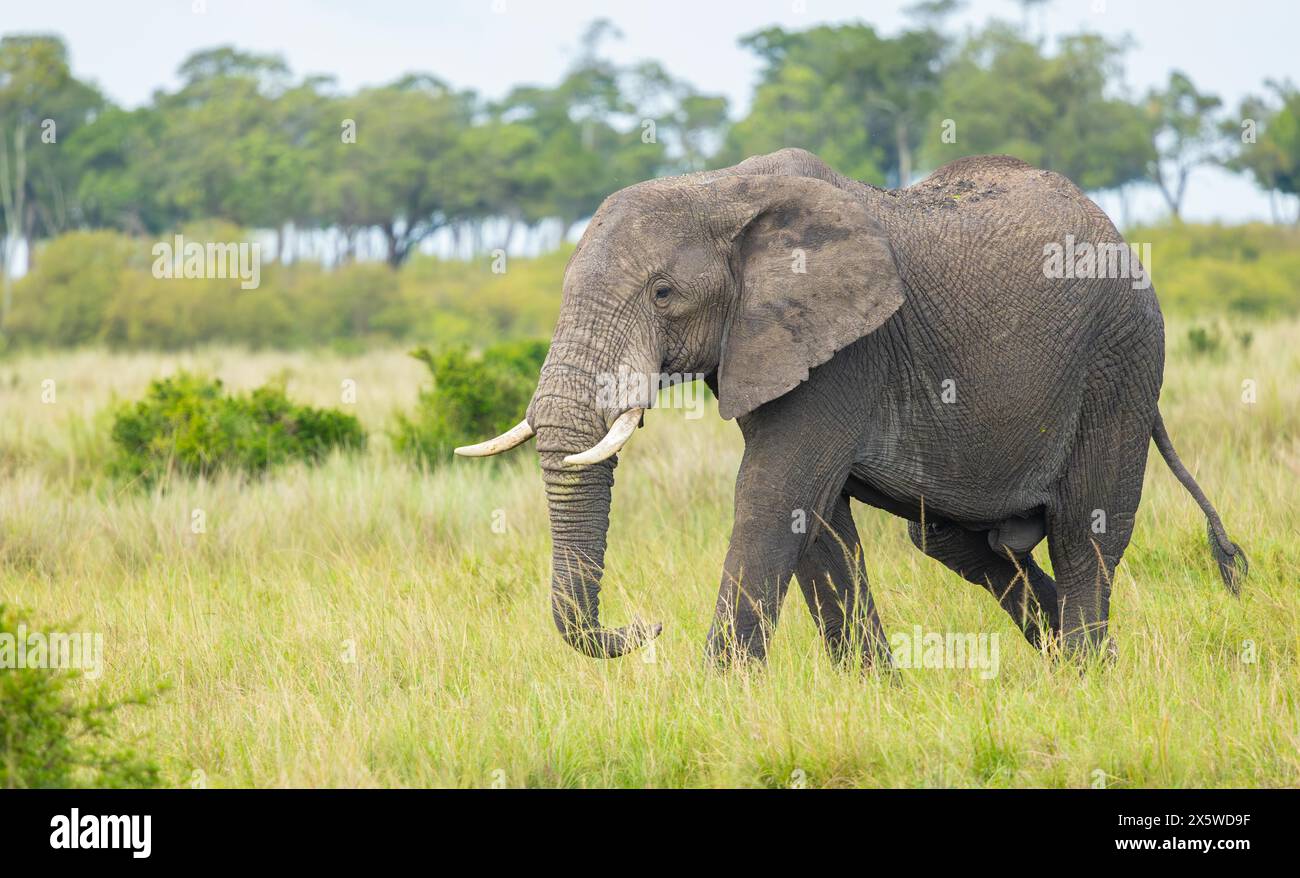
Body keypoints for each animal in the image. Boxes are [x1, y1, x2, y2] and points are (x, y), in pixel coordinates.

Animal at [455, 147, 1247, 667]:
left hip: (1121, 362)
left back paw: (1086, 676)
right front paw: (876, 693)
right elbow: (817, 521)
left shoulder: (846, 351)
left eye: (662, 293)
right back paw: (1073, 664)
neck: (720, 189)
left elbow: (773, 497)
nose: (645, 627)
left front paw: (715, 698)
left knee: (1087, 532)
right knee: (964, 543)